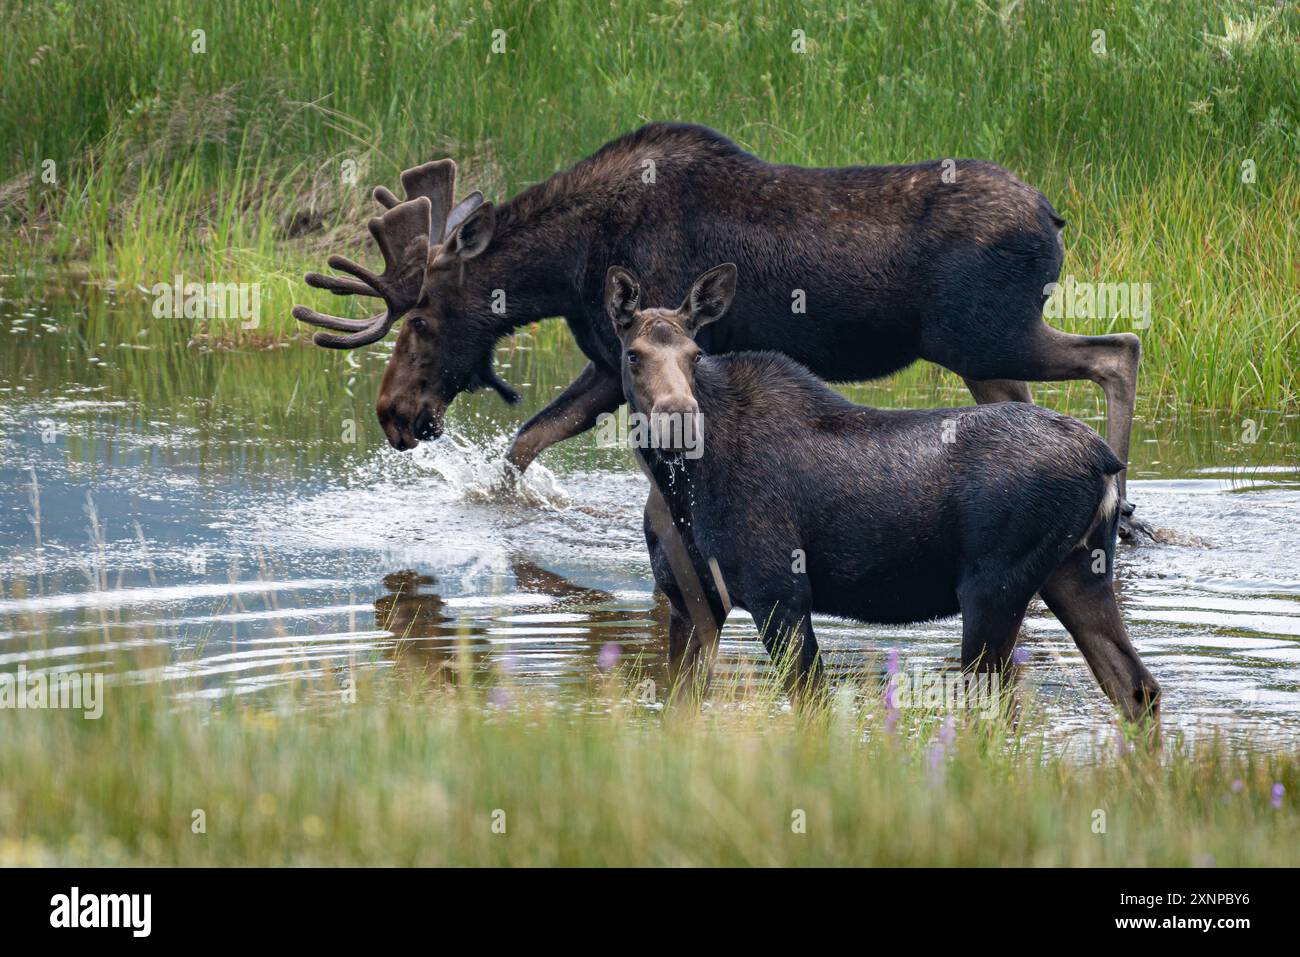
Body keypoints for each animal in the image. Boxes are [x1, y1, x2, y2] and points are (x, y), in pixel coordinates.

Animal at [292, 123, 1148, 538]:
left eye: (423, 316)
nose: (393, 413)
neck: (567, 266)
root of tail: (1052, 216)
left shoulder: (634, 349)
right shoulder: (610, 360)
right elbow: (523, 445)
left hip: (986, 335)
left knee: (1119, 351)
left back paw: (1118, 500)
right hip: (984, 353)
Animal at [605, 262, 1161, 726]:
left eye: (695, 355)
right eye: (633, 355)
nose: (678, 416)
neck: (677, 489)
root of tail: (1104, 462)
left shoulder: (780, 594)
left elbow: (812, 704)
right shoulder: (690, 601)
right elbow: (679, 711)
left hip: (994, 587)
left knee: (1002, 710)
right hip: (1076, 571)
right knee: (1137, 689)